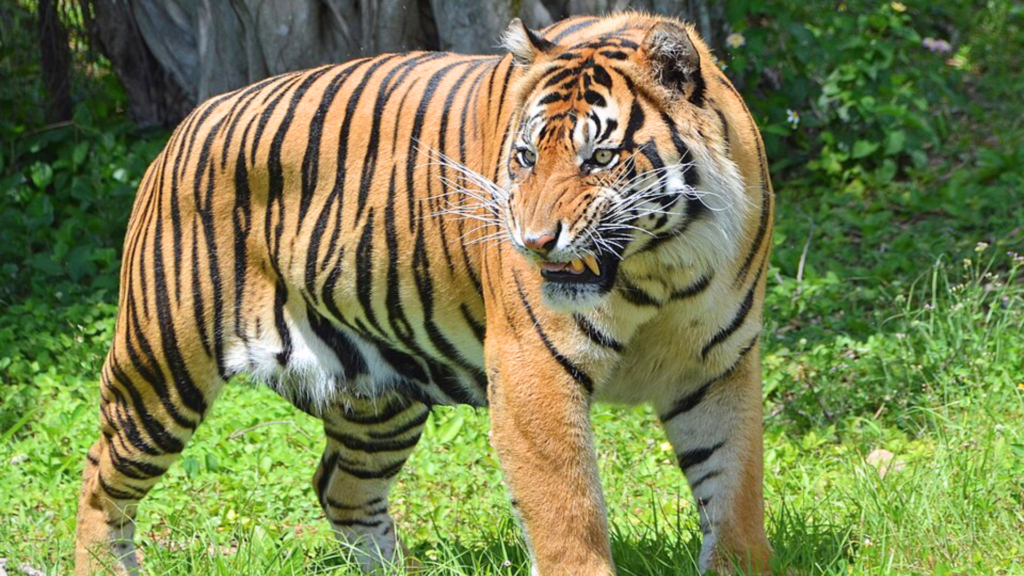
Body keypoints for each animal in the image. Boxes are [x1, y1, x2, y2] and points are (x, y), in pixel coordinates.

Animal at [75, 11, 775, 576]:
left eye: (599, 159)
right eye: (525, 157)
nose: (533, 241)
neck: (662, 268)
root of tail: (189, 121)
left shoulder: (717, 367)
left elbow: (733, 492)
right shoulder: (533, 370)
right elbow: (567, 515)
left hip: (376, 398)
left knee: (341, 489)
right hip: (159, 370)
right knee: (99, 480)